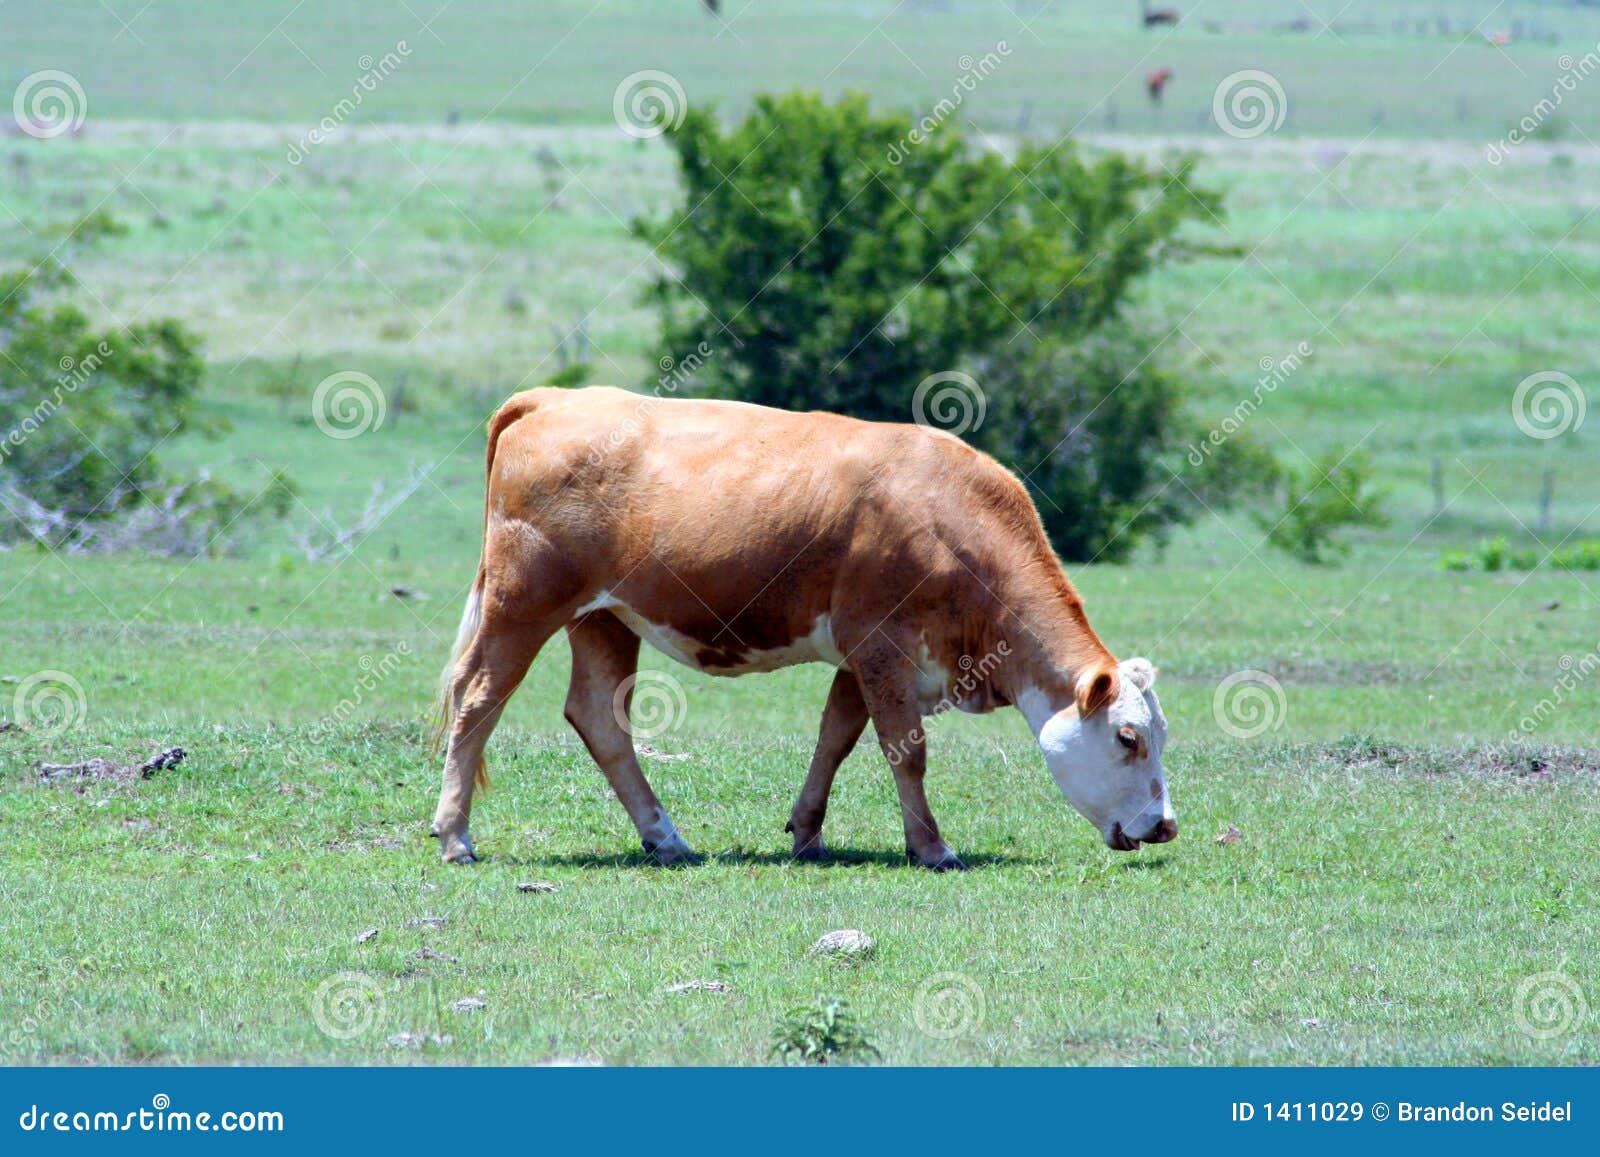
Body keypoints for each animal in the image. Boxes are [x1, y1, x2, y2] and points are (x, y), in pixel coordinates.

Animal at [431, 386, 1176, 870]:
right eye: (1128, 737)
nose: (1165, 825)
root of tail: (551, 397)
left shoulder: (859, 656)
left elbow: (835, 738)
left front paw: (808, 834)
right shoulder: (882, 645)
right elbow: (906, 750)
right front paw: (932, 847)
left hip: (606, 618)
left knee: (598, 716)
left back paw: (665, 837)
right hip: (523, 605)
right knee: (479, 703)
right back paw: (456, 835)